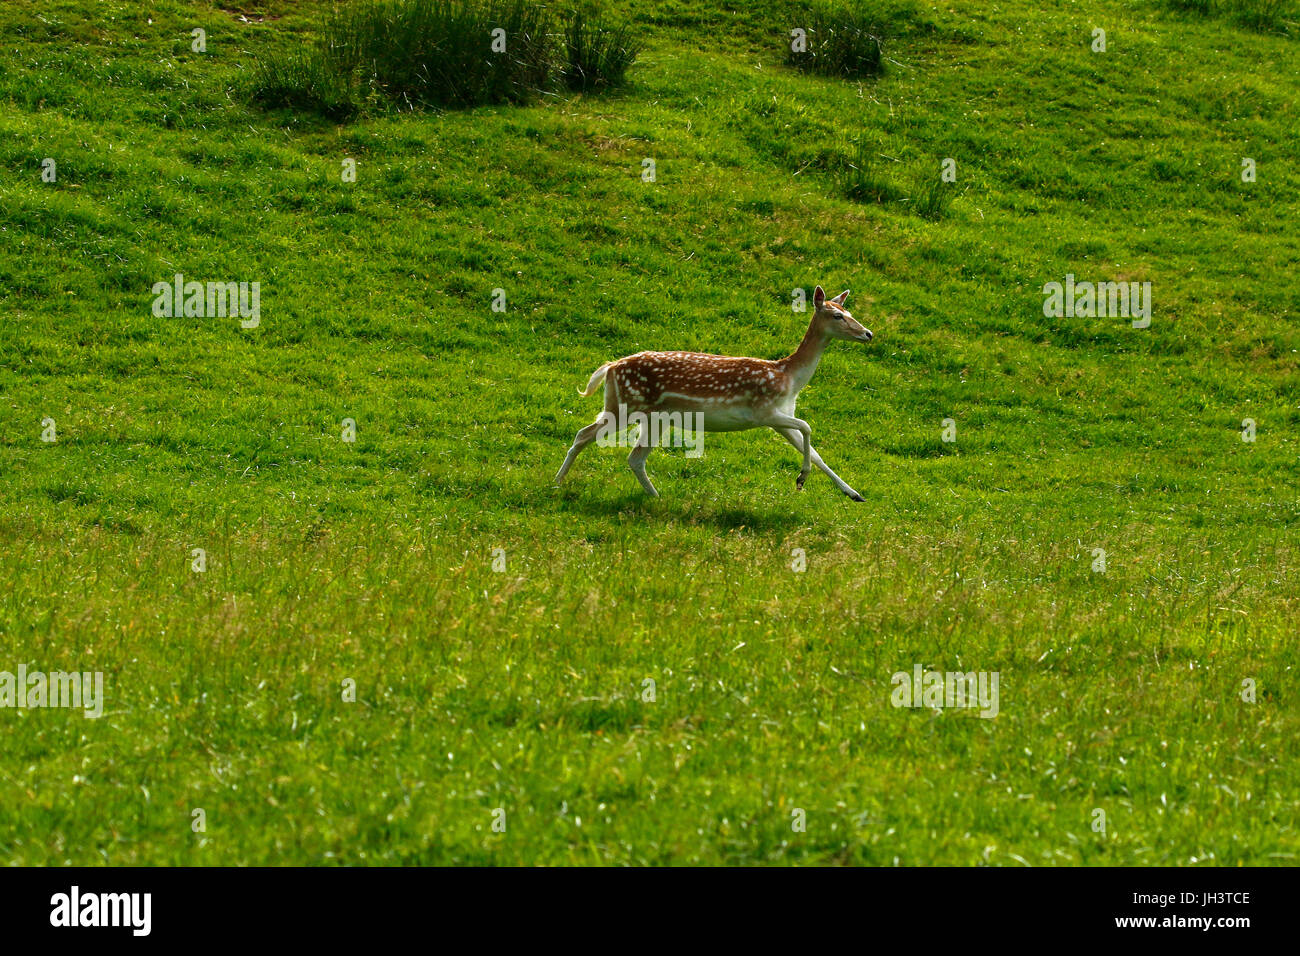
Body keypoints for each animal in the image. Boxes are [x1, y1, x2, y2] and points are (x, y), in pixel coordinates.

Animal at [555, 285, 873, 500]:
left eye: (850, 312)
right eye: (837, 315)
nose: (868, 333)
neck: (789, 379)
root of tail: (610, 367)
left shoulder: (780, 417)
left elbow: (816, 452)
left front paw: (852, 493)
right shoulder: (764, 411)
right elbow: (807, 427)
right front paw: (801, 477)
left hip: (651, 416)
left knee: (633, 457)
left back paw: (656, 496)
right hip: (625, 405)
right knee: (585, 435)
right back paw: (557, 482)